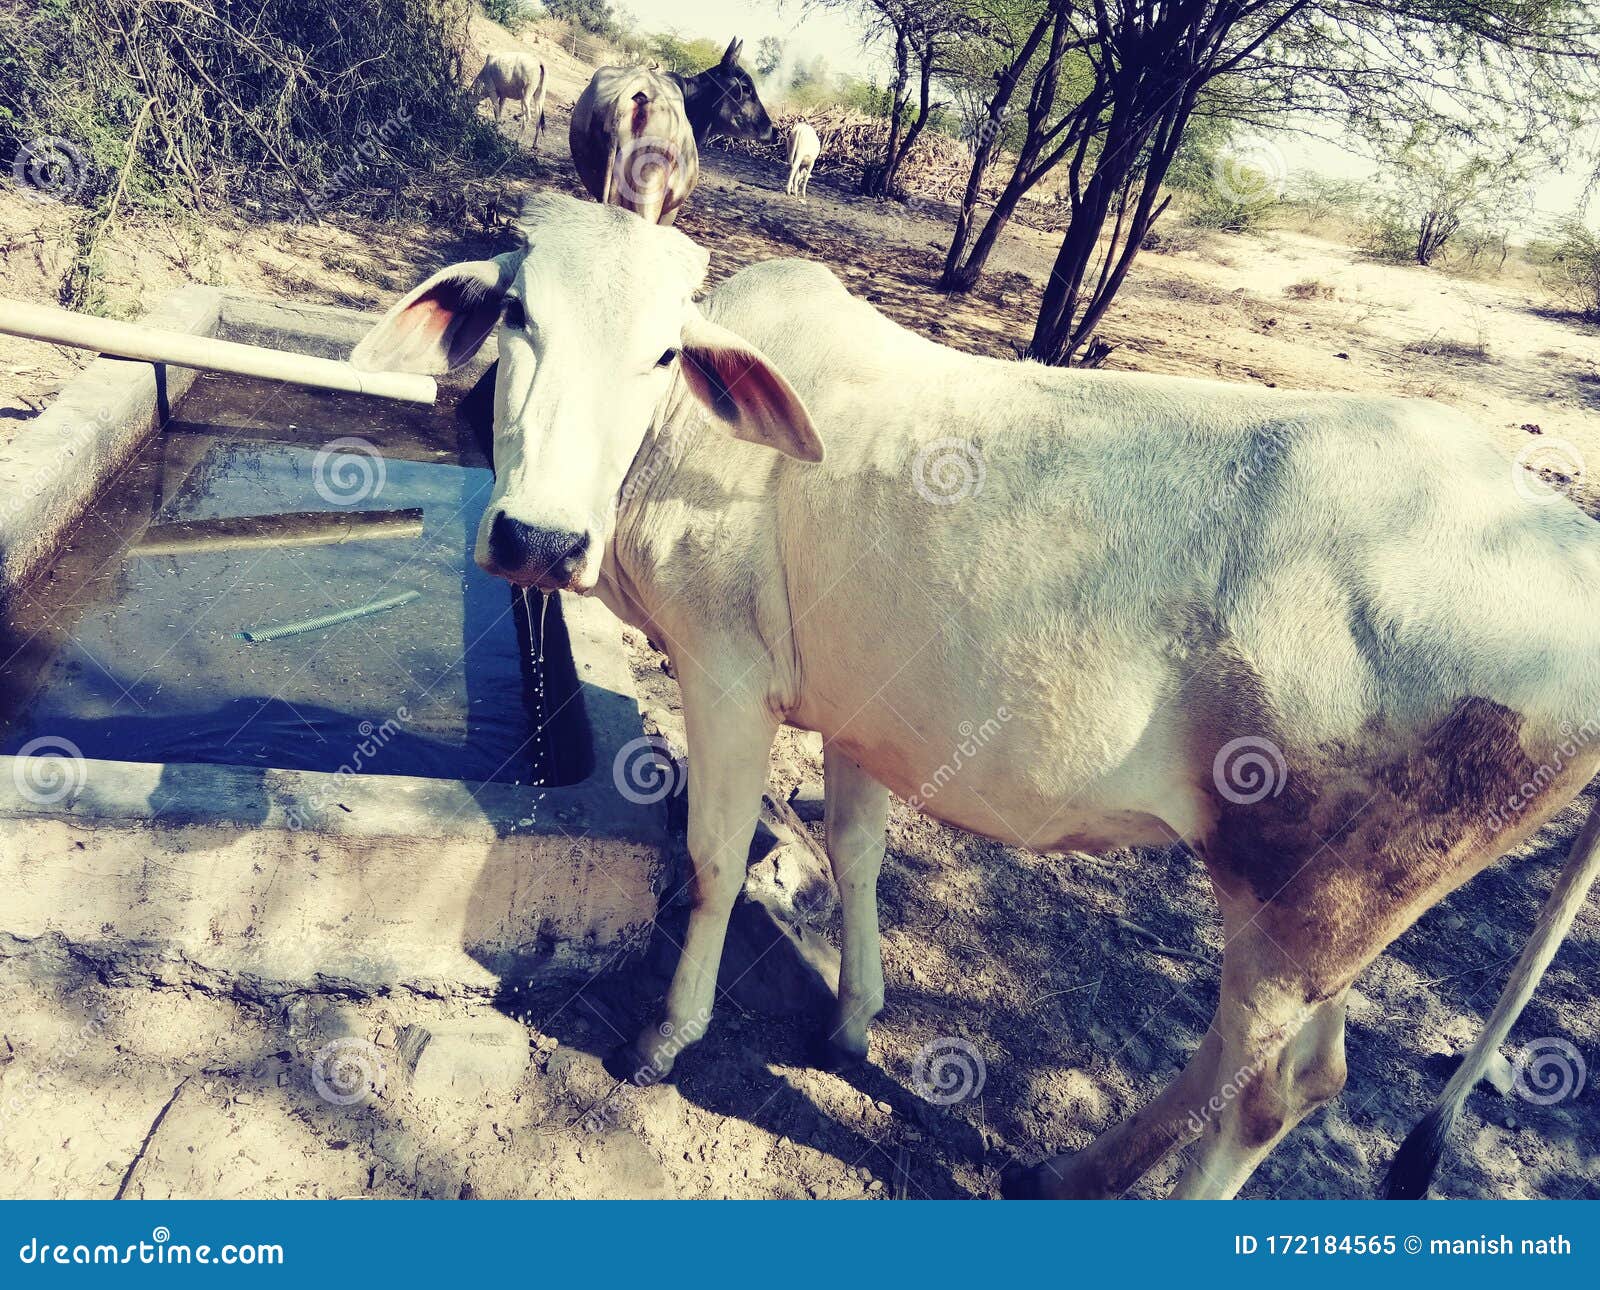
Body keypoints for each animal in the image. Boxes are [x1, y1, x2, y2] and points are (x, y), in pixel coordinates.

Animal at [350, 193, 1600, 1201]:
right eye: (517, 314)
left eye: (663, 352)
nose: (539, 540)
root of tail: (1565, 538)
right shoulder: (861, 708)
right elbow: (856, 851)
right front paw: (852, 1019)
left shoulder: (724, 676)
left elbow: (710, 864)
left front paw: (666, 1036)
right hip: (1323, 915)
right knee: (1301, 1070)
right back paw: (1067, 1174)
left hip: (1303, 904)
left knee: (1263, 1093)